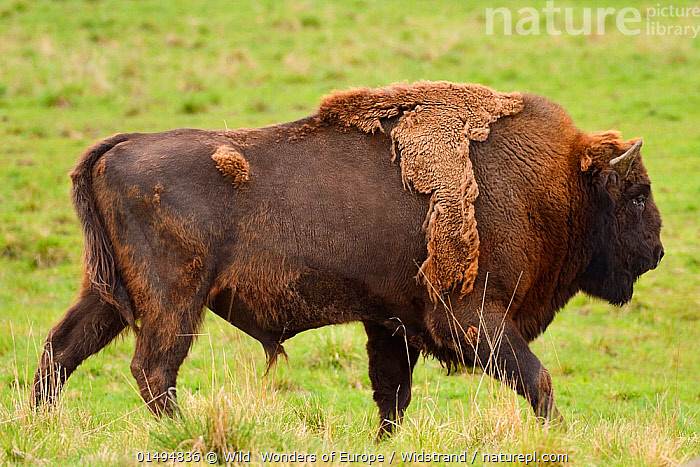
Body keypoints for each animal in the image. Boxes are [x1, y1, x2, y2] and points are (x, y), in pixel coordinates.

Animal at [34, 82, 663, 437]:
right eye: (636, 194)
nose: (656, 251)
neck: (556, 182)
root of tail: (120, 147)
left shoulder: (392, 324)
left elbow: (392, 396)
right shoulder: (474, 317)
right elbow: (537, 379)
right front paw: (560, 437)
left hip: (108, 294)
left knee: (62, 350)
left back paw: (40, 424)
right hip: (174, 299)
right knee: (152, 368)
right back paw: (182, 434)